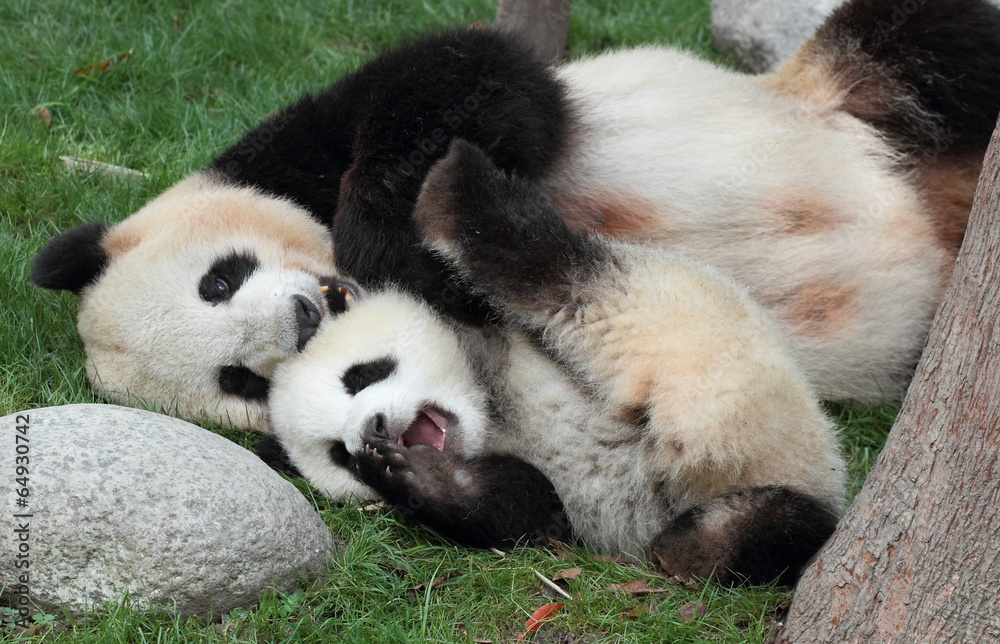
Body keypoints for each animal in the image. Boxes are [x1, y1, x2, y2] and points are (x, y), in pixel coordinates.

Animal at [29, 0, 1000, 431]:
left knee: (930, 38)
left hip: (847, 88)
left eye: (218, 279)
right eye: (239, 381)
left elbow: (471, 80)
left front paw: (381, 231)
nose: (303, 318)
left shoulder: (306, 140)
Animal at [269, 138, 846, 585]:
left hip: (718, 372)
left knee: (548, 268)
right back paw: (705, 543)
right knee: (787, 524)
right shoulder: (531, 484)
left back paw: (454, 178)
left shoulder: (464, 310)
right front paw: (416, 477)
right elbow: (530, 510)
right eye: (339, 455)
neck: (489, 402)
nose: (372, 429)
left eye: (361, 375)